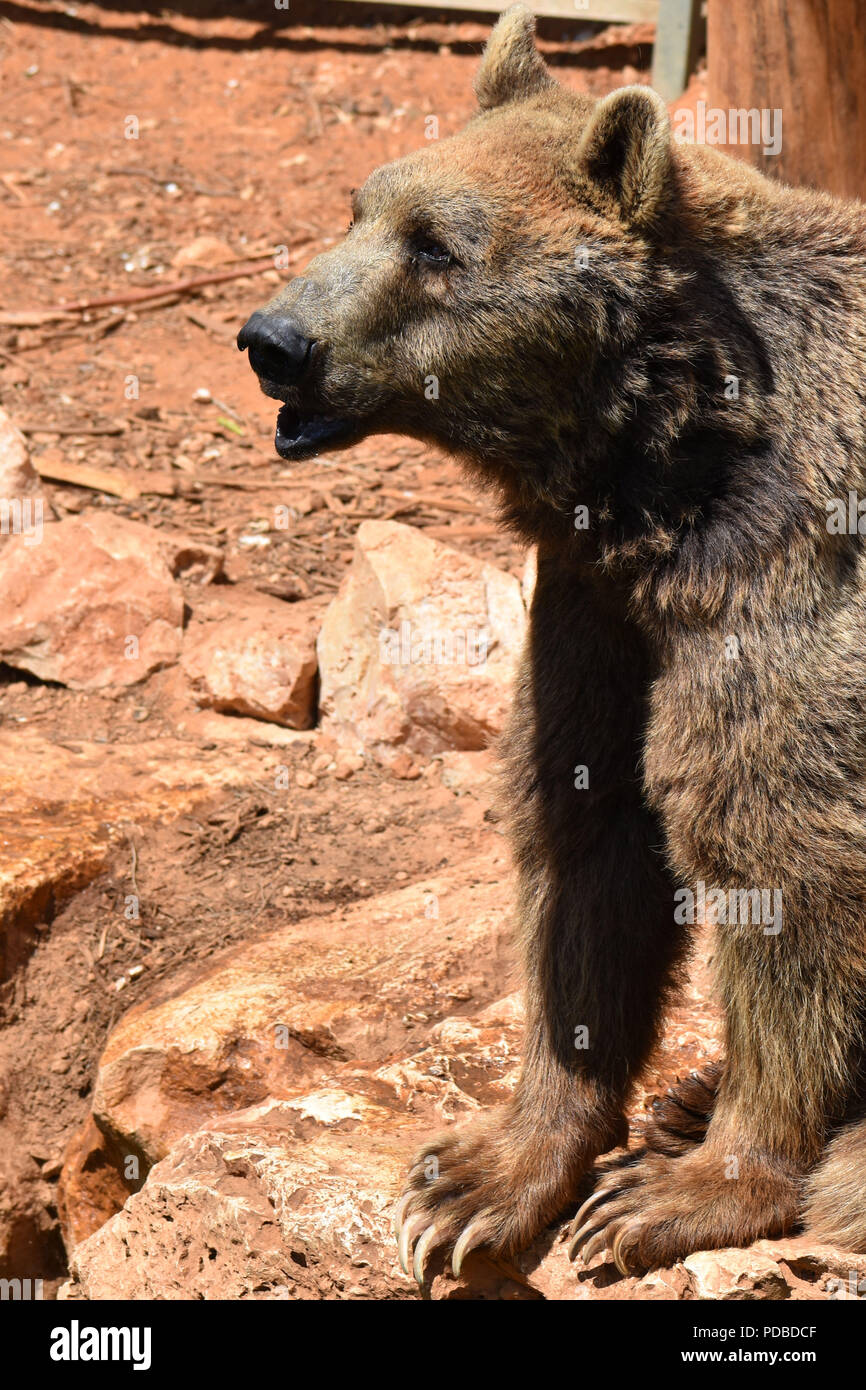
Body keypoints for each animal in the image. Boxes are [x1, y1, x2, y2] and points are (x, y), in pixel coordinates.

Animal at [238, 4, 866, 1281]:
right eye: (362, 204)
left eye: (437, 244)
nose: (272, 338)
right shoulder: (593, 608)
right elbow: (583, 835)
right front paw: (475, 1179)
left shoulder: (782, 587)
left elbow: (772, 847)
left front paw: (676, 1191)